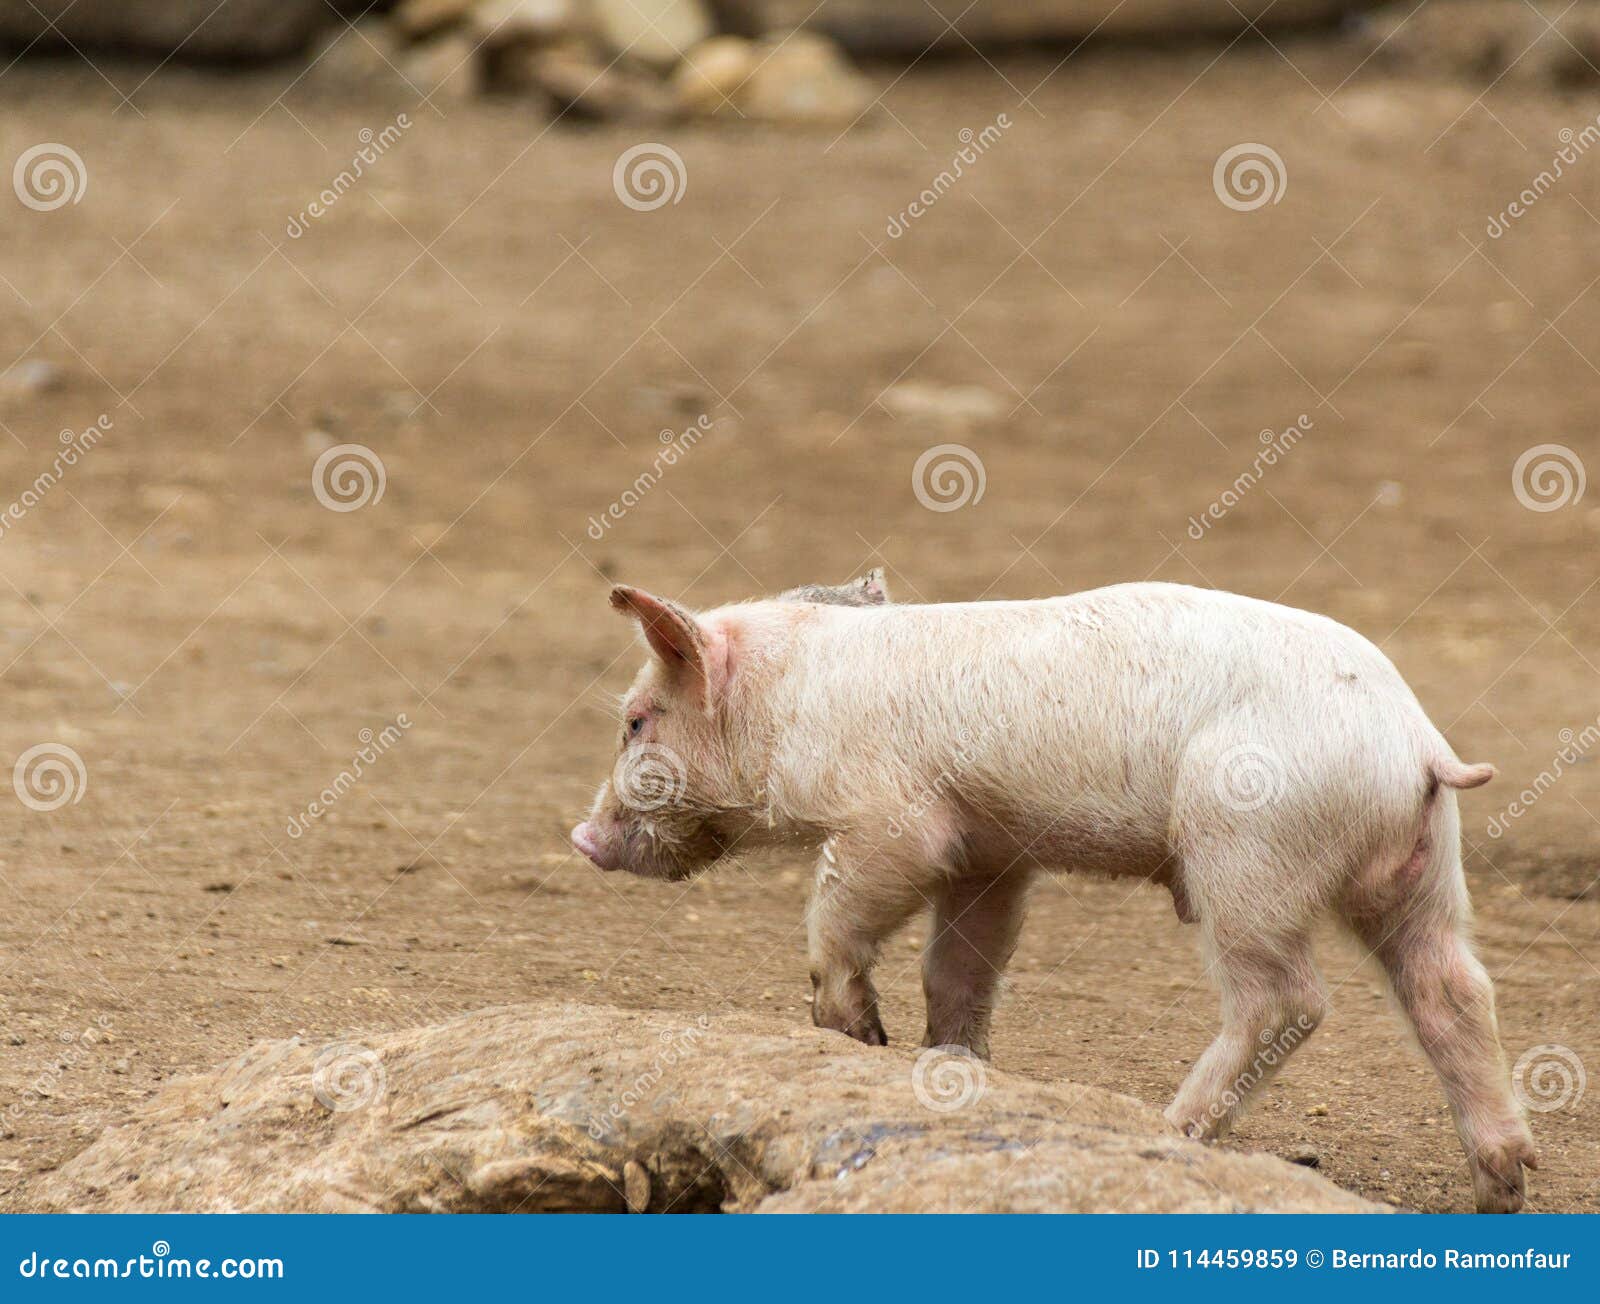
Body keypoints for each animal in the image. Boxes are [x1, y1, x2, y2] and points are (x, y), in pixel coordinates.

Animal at [570, 581, 1537, 1213]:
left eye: (637, 722)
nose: (582, 838)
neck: (788, 706)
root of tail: (1414, 742)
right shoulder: (991, 853)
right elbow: (960, 966)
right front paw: (952, 1062)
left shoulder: (895, 821)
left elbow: (842, 914)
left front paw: (853, 1033)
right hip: (1421, 873)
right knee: (1453, 988)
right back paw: (1502, 1184)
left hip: (1248, 854)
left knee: (1288, 999)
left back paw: (1169, 1126)